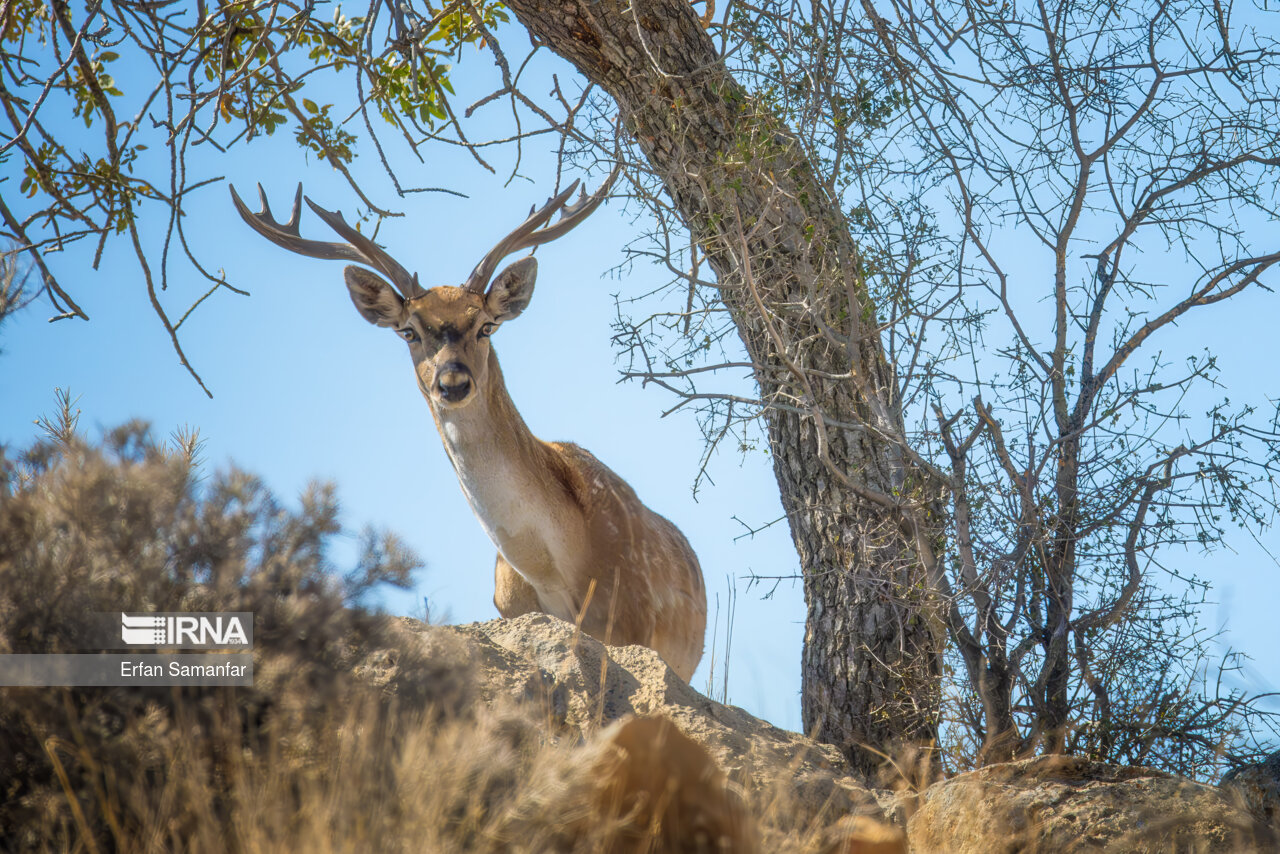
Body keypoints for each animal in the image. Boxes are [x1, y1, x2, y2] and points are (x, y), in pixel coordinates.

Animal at [230, 175, 711, 681]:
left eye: (486, 326)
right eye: (409, 331)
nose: (453, 382)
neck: (556, 569)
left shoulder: (633, 623)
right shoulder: (507, 608)